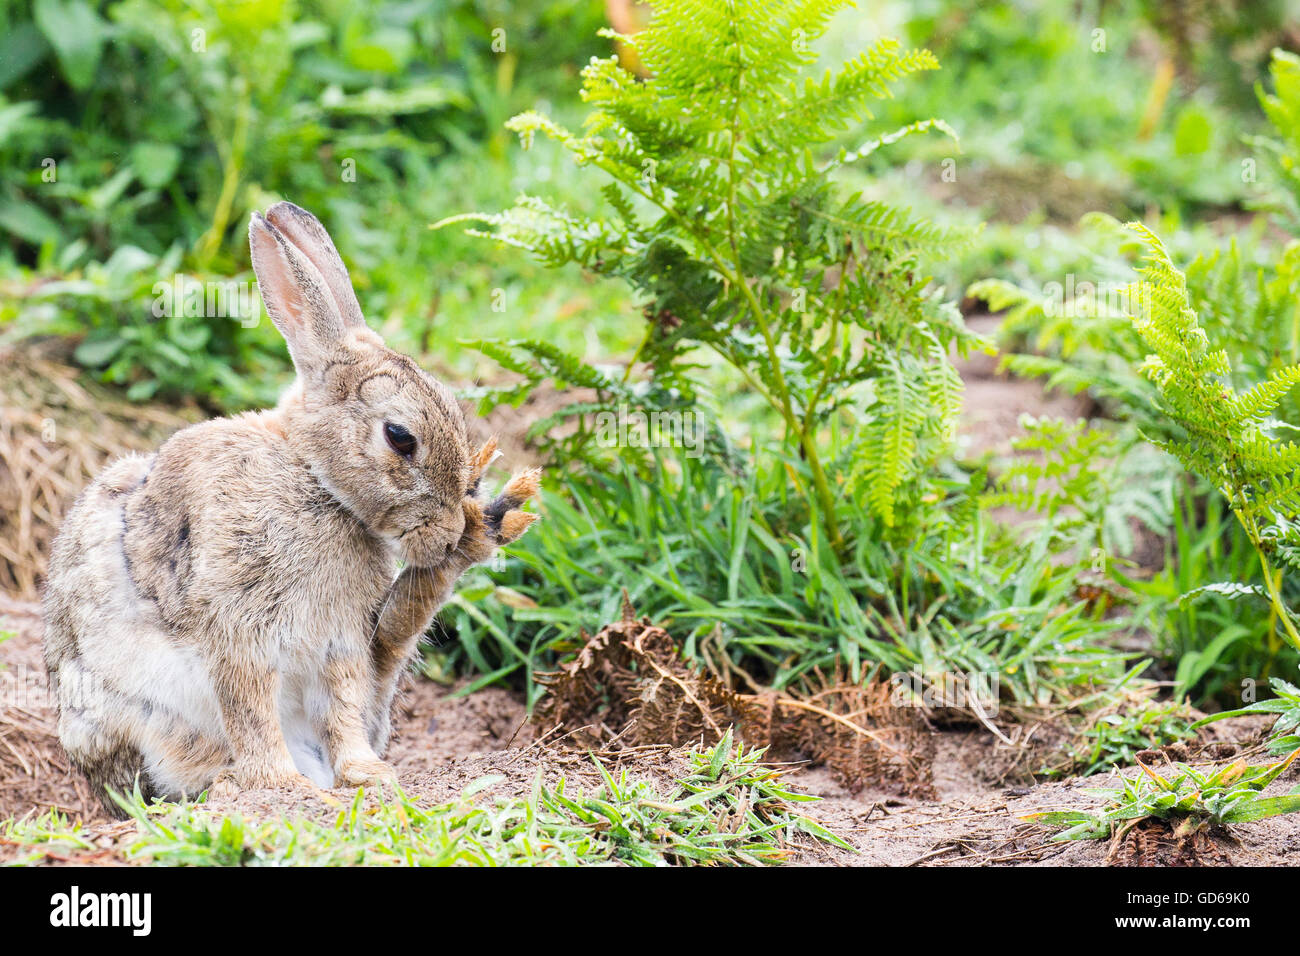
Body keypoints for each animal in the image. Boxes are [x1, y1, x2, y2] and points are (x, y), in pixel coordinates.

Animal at [42, 201, 540, 816]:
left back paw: (488, 528)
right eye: (400, 437)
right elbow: (251, 710)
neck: (316, 480)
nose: (444, 534)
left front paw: (368, 776)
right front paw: (285, 788)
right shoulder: (238, 627)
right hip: (135, 720)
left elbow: (343, 711)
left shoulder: (339, 640)